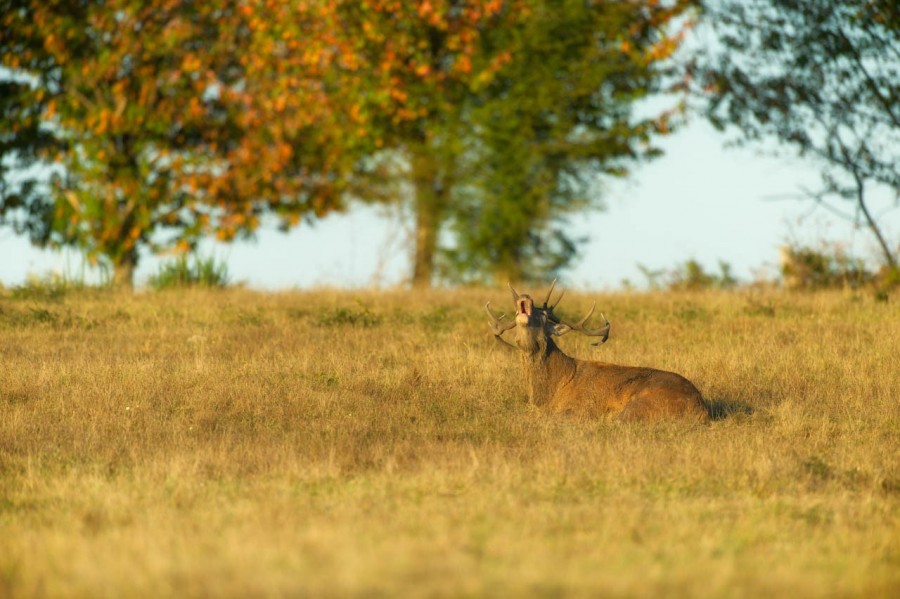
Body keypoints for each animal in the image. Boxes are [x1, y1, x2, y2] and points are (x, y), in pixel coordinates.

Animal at [486, 281, 710, 422]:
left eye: (543, 317)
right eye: (515, 313)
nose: (525, 296)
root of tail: (701, 408)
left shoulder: (582, 407)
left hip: (641, 404)